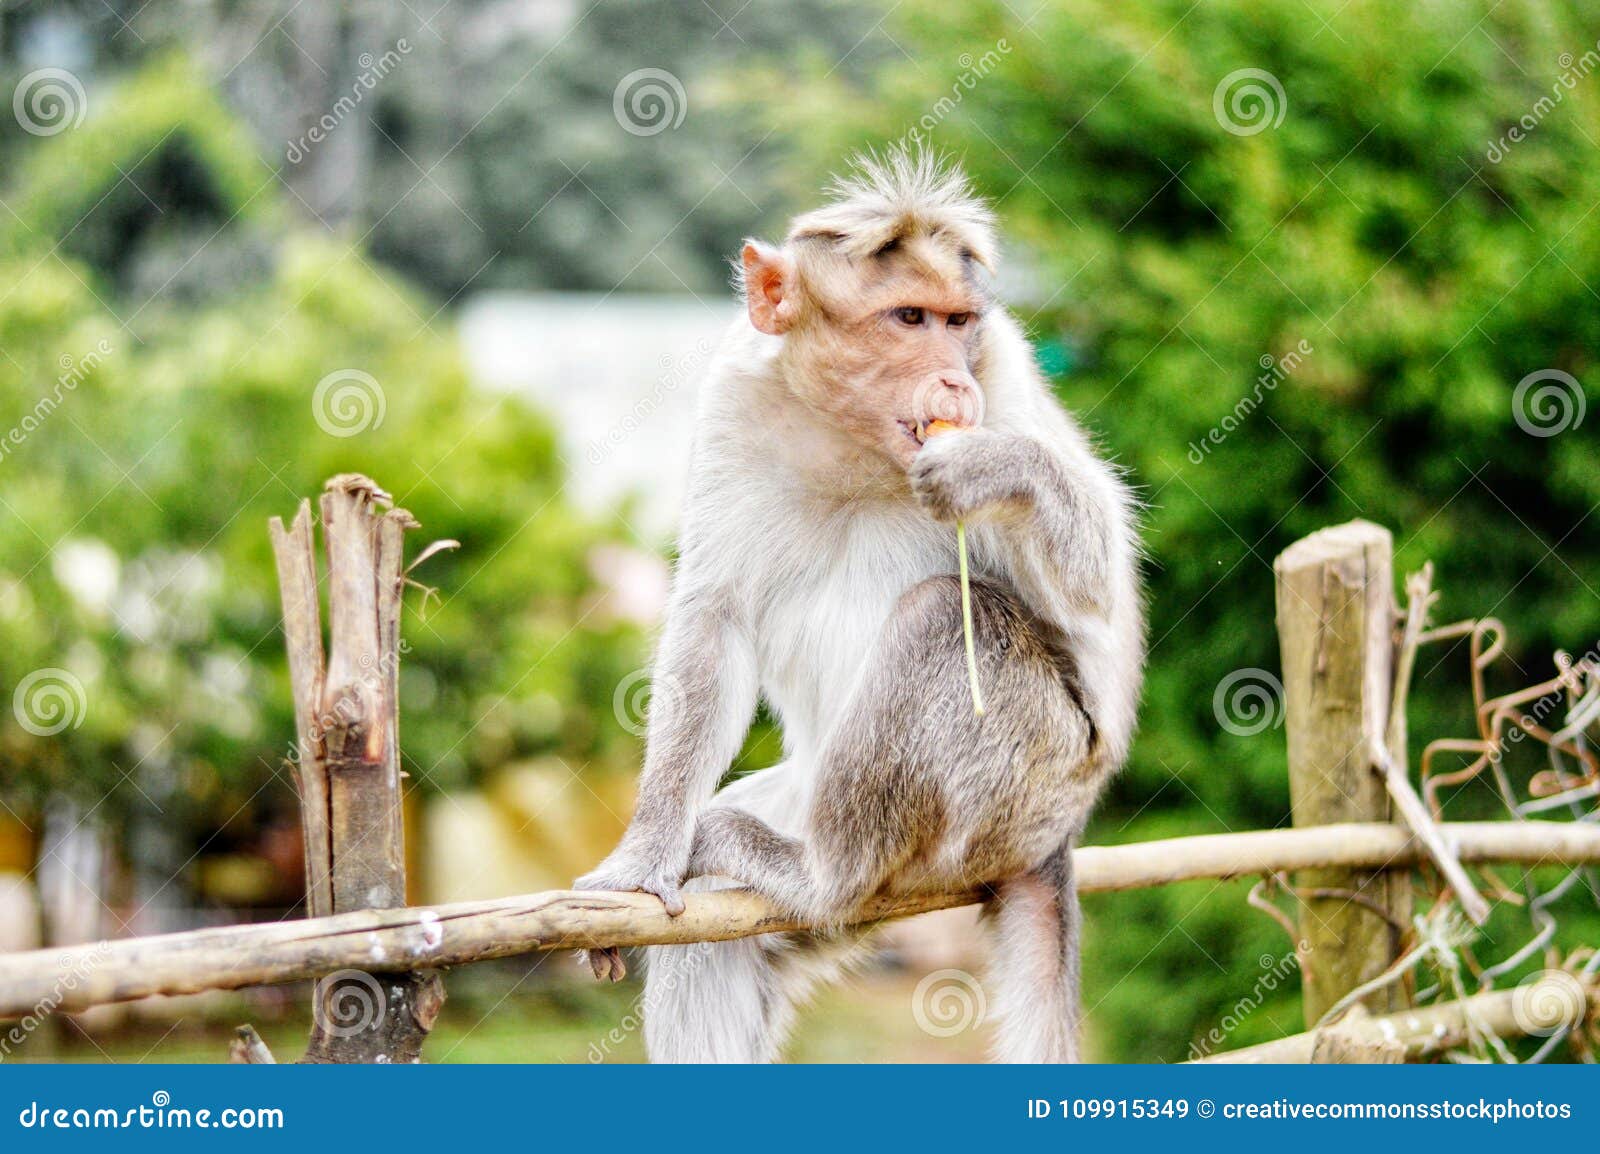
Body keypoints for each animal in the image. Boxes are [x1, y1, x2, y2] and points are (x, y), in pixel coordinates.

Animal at [575, 151, 1143, 1063]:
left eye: (956, 322)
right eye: (909, 318)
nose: (951, 377)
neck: (851, 435)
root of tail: (1059, 833)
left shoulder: (1006, 370)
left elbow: (1098, 598)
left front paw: (994, 467)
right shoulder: (734, 393)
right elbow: (714, 620)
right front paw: (644, 852)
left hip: (1027, 788)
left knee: (940, 618)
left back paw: (822, 876)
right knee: (714, 938)